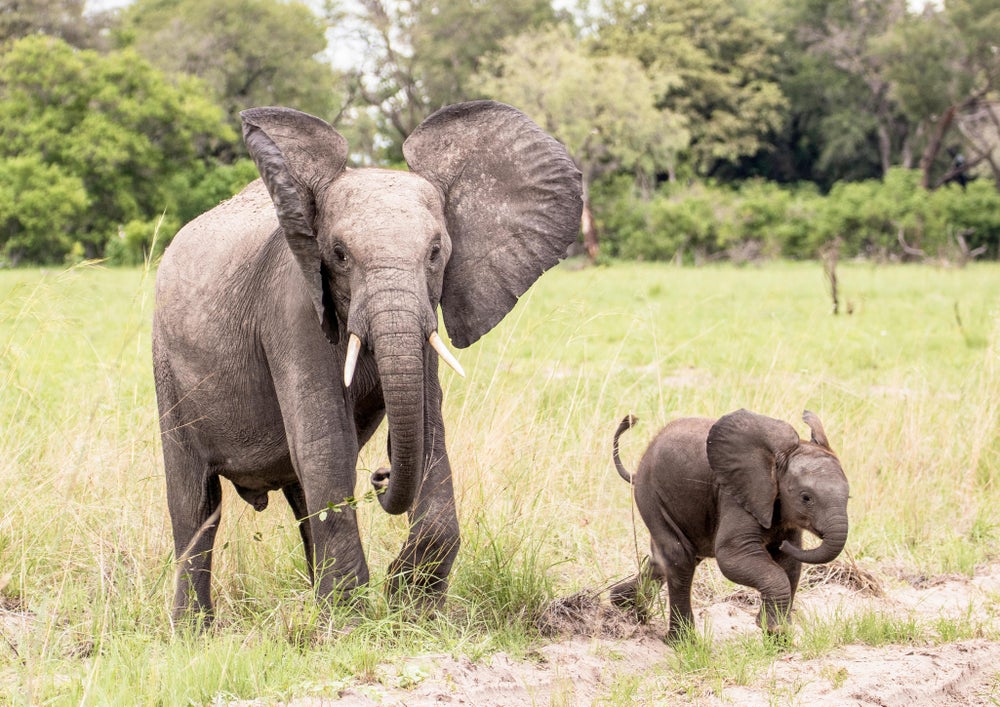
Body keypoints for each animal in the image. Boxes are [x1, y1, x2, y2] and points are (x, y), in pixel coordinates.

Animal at [152, 100, 582, 622]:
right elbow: (326, 444)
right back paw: (194, 629)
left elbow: (428, 430)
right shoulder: (293, 310)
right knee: (196, 506)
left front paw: (411, 610)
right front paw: (350, 624)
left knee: (299, 497)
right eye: (338, 255)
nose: (381, 474)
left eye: (436, 252)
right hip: (167, 365)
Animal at [609, 409, 849, 639]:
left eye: (848, 497)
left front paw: (778, 636)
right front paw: (774, 629)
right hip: (650, 495)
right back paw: (682, 642)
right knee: (680, 557)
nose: (781, 543)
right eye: (806, 498)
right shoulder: (735, 495)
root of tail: (639, 467)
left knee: (665, 559)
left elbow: (789, 564)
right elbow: (731, 556)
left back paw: (621, 603)